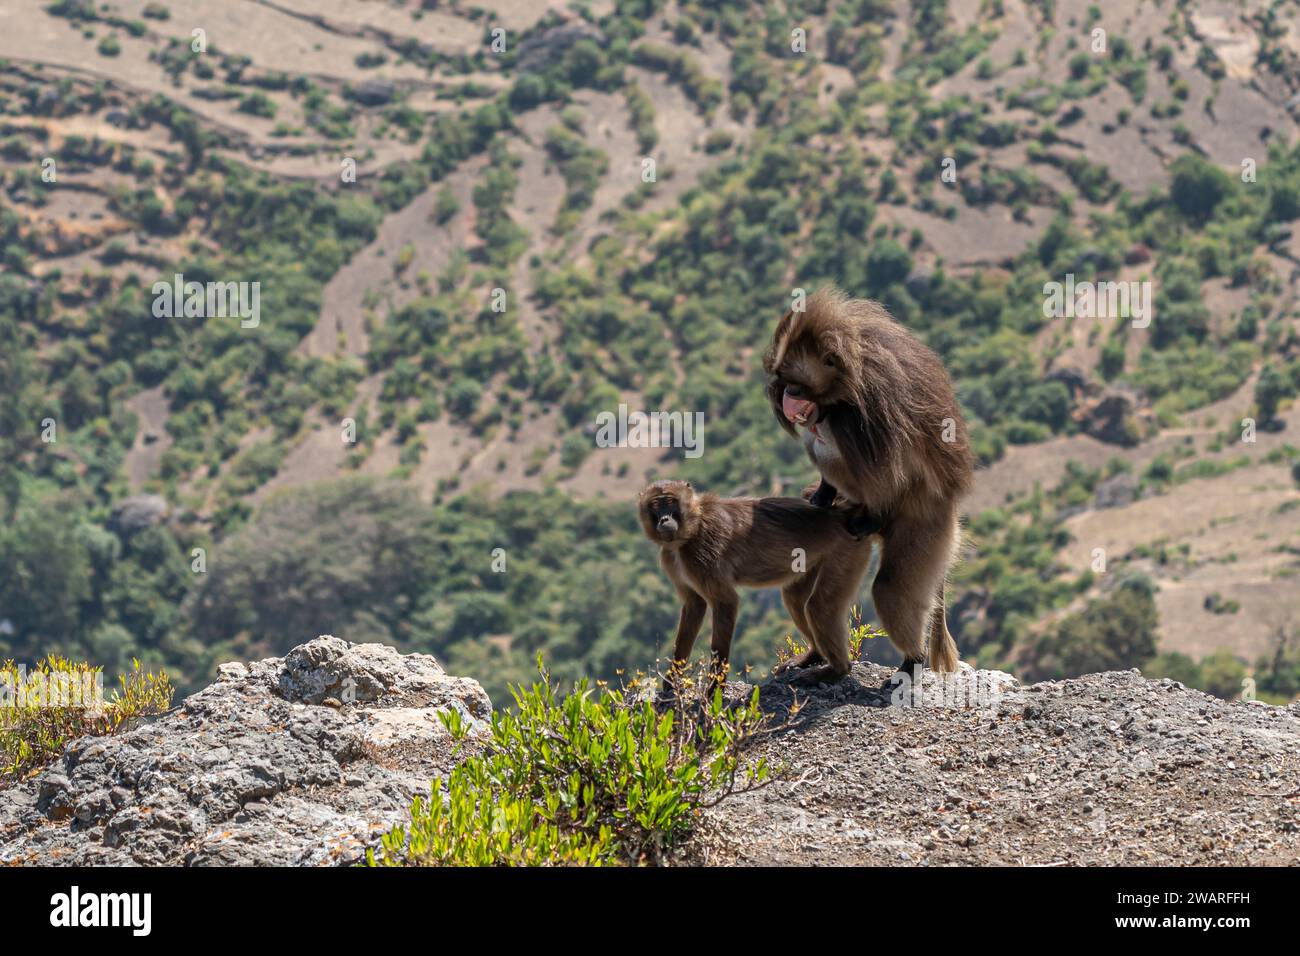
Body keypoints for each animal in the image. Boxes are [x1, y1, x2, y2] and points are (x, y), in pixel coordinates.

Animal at [638, 479, 874, 693]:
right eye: (656, 505)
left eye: (670, 502)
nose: (665, 519)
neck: (692, 529)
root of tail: (840, 514)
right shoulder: (671, 558)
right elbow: (694, 605)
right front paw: (672, 679)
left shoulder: (702, 554)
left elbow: (725, 603)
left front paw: (714, 690)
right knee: (795, 598)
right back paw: (814, 655)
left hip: (847, 548)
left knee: (819, 606)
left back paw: (838, 670)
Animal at [763, 285, 974, 676]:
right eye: (785, 381)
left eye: (796, 384)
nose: (786, 397)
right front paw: (820, 495)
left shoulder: (859, 416)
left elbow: (888, 472)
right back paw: (814, 656)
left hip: (926, 527)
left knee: (891, 590)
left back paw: (911, 662)